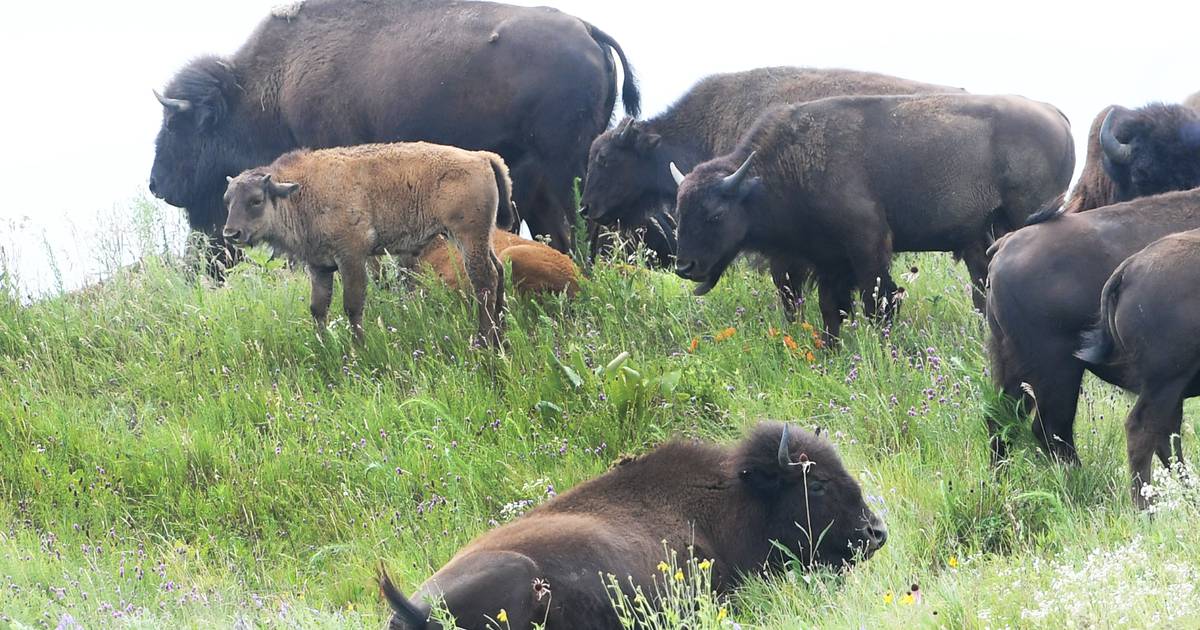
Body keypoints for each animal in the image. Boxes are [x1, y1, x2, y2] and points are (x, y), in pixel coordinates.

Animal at [672, 94, 1074, 340]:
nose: (685, 266)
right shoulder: (827, 260)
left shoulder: (867, 245)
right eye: (678, 211)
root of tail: (1055, 114)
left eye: (715, 214)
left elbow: (877, 301)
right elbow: (831, 308)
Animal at [1076, 229, 1200, 508]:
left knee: (1165, 436)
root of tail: (1128, 270)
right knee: (1143, 430)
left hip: (1170, 386)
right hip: (1167, 380)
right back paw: (1146, 509)